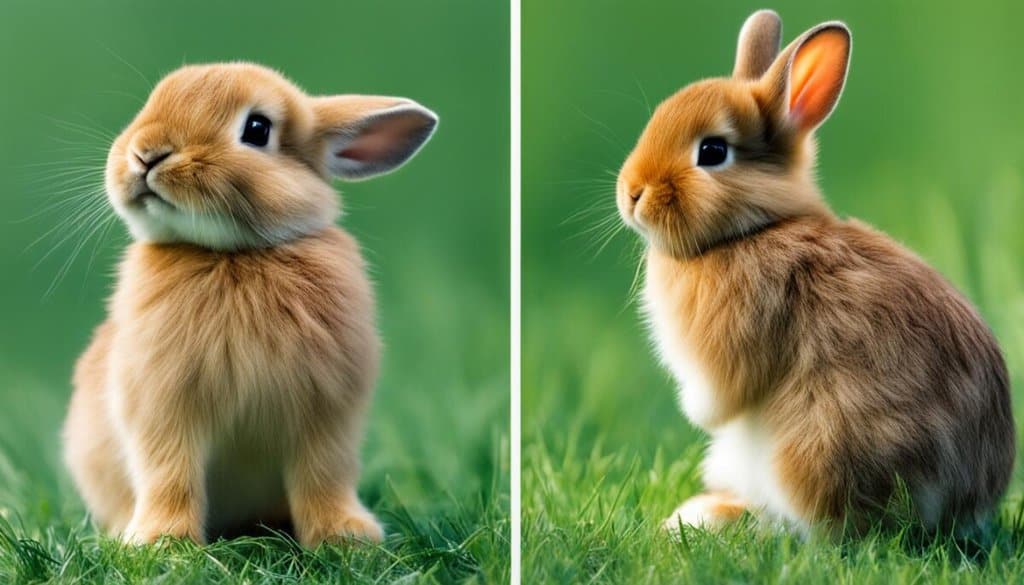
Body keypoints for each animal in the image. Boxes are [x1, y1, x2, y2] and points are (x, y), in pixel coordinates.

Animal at [62, 62, 437, 547]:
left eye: (257, 129)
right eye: (152, 101)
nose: (147, 154)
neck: (233, 254)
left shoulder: (327, 414)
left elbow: (324, 475)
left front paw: (344, 538)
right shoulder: (161, 410)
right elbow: (169, 473)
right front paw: (163, 541)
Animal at [616, 10, 1014, 537]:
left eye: (713, 151)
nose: (631, 193)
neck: (752, 230)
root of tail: (963, 509)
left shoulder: (732, 341)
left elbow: (717, 399)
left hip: (814, 453)